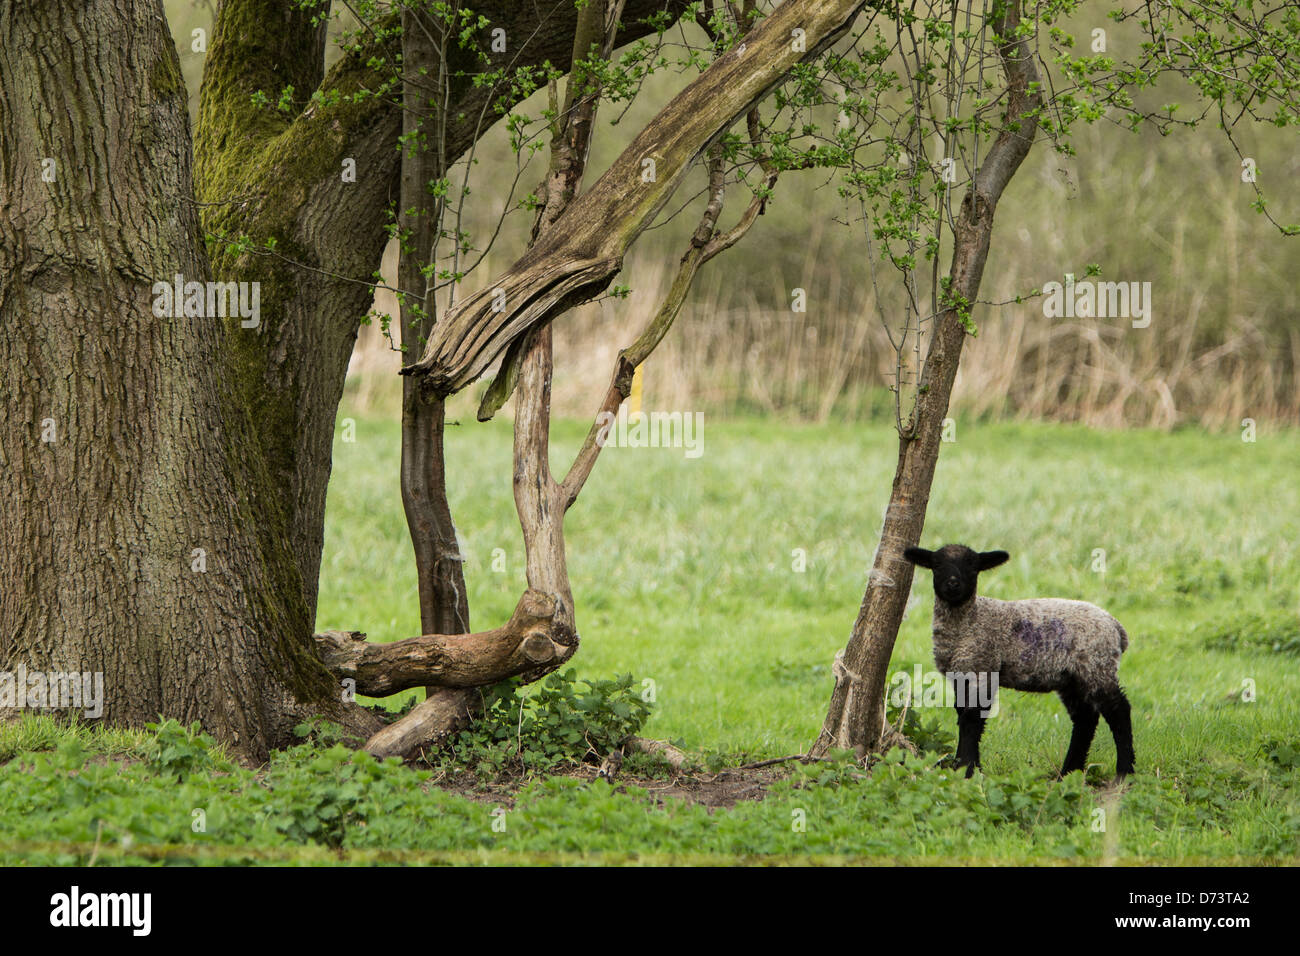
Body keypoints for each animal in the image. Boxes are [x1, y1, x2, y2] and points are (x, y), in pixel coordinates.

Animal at [902, 543, 1135, 780]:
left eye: (972, 566)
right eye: (937, 565)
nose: (953, 583)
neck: (969, 621)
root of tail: (1116, 626)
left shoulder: (983, 666)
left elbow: (973, 718)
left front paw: (966, 768)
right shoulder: (960, 673)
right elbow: (962, 713)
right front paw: (969, 767)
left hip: (1097, 665)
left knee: (1119, 711)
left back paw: (1125, 771)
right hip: (1072, 677)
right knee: (1085, 719)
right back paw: (1068, 772)